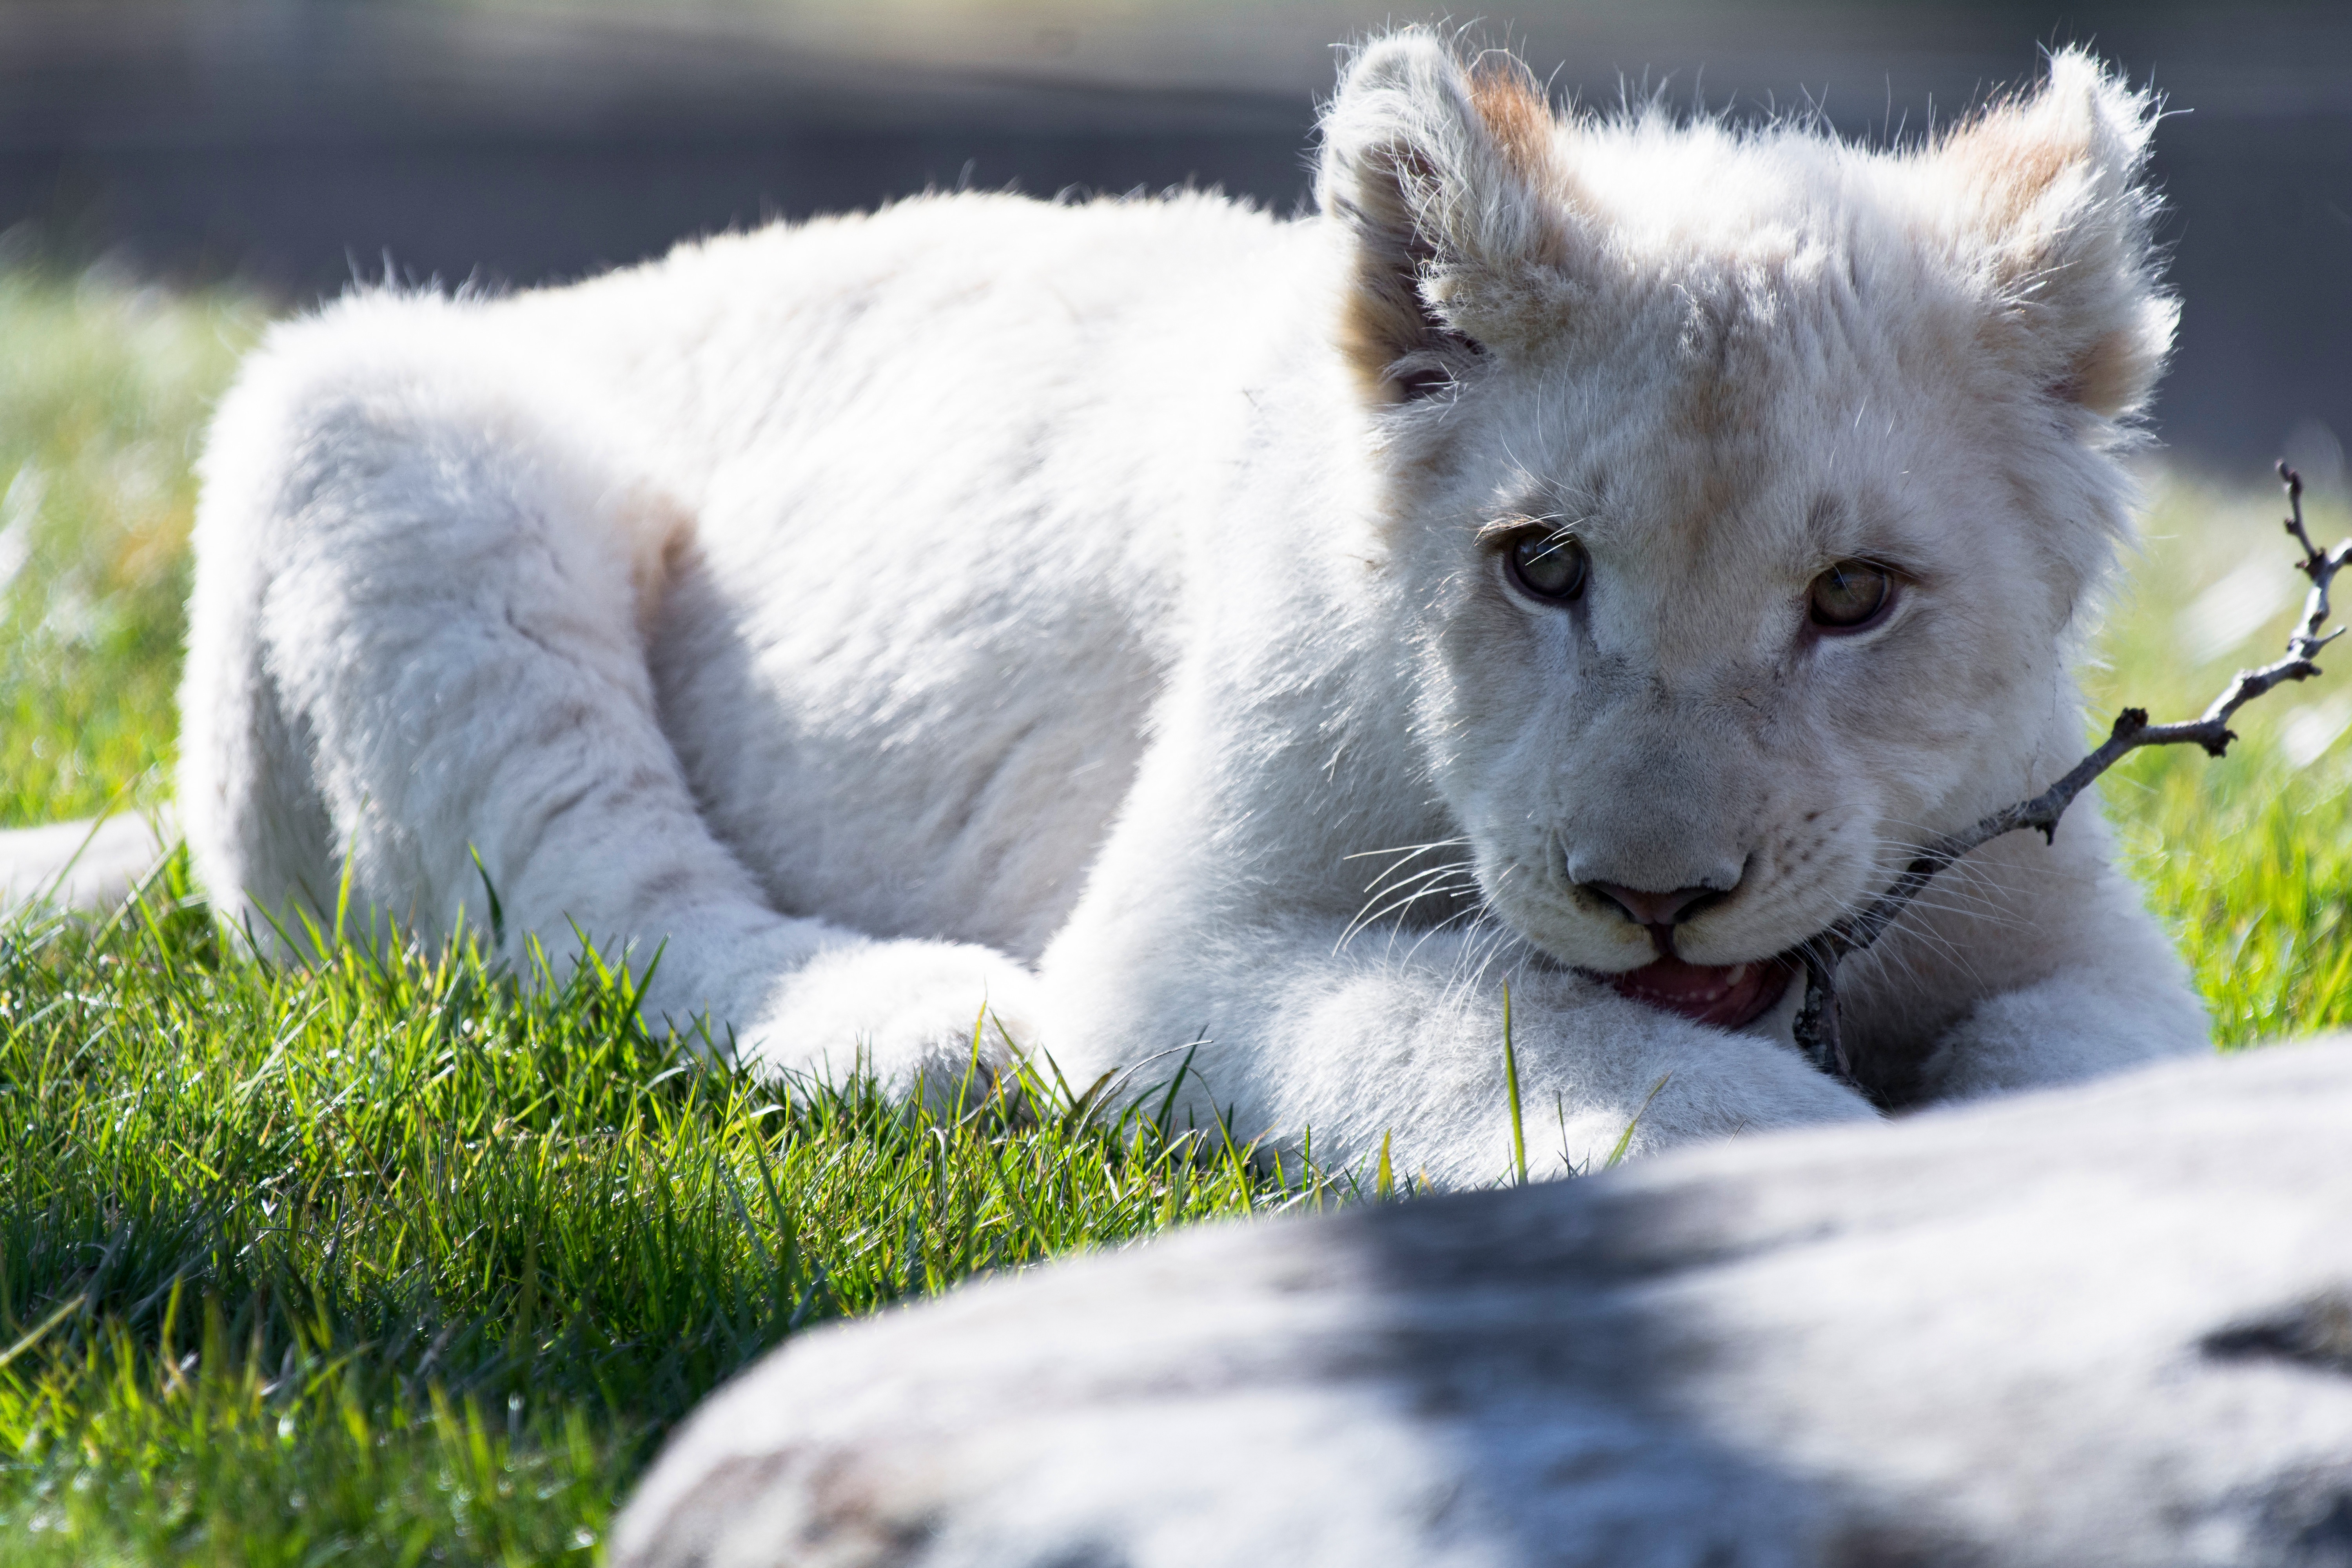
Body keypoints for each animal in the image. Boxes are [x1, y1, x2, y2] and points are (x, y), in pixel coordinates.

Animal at [3, 32, 2209, 1182]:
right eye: (1541, 563)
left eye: (1853, 594)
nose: (1653, 895)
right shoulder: (1181, 944)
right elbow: (1527, 1027)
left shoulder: (2069, 913)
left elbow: (2113, 1057)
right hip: (381, 433)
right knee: (589, 911)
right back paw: (934, 1031)